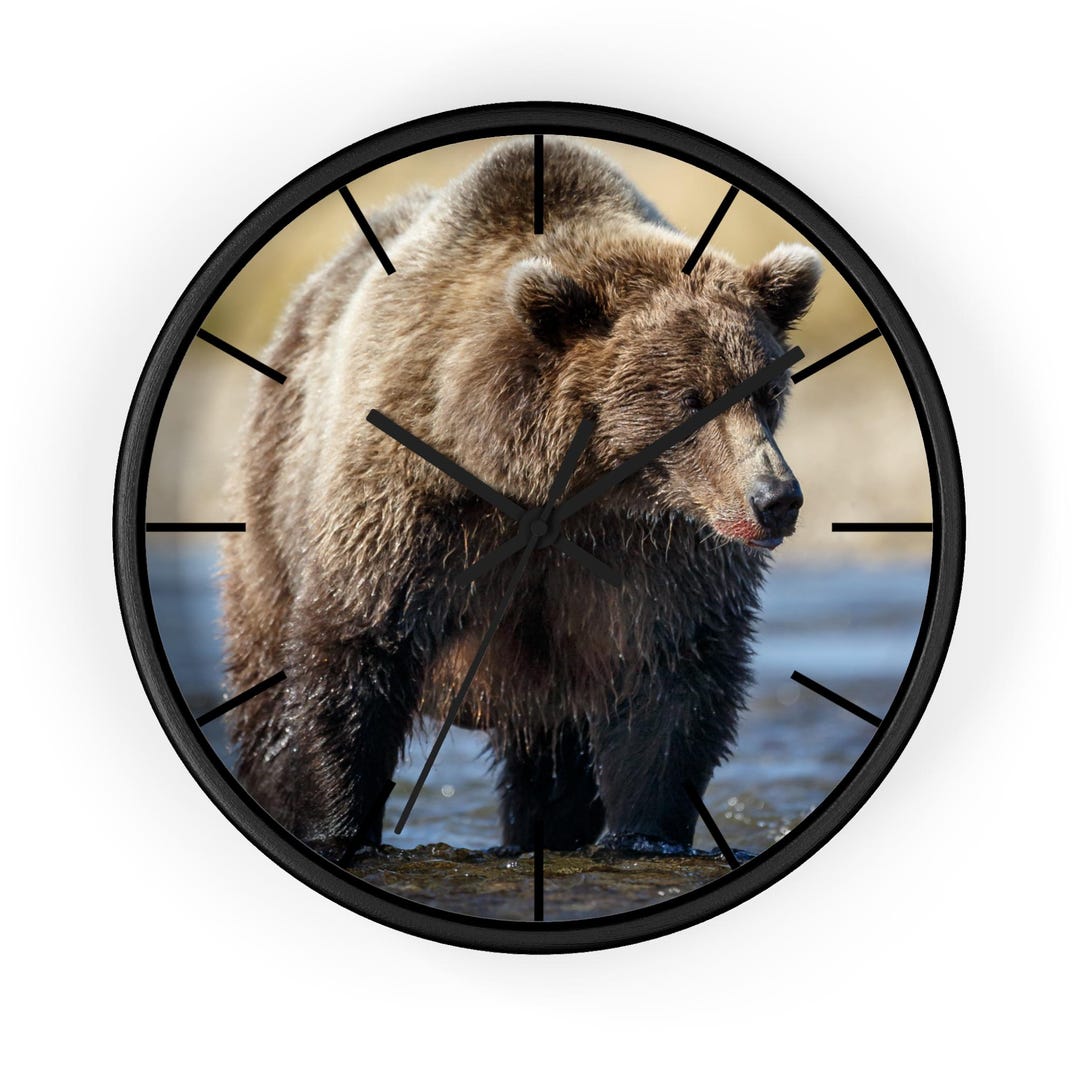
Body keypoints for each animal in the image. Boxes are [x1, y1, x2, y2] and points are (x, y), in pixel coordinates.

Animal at [220, 137, 820, 860]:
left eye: (766, 390)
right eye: (690, 399)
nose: (776, 498)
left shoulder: (659, 547)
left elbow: (676, 674)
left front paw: (646, 835)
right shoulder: (413, 505)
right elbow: (356, 645)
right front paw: (335, 827)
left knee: (552, 758)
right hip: (272, 504)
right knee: (264, 680)